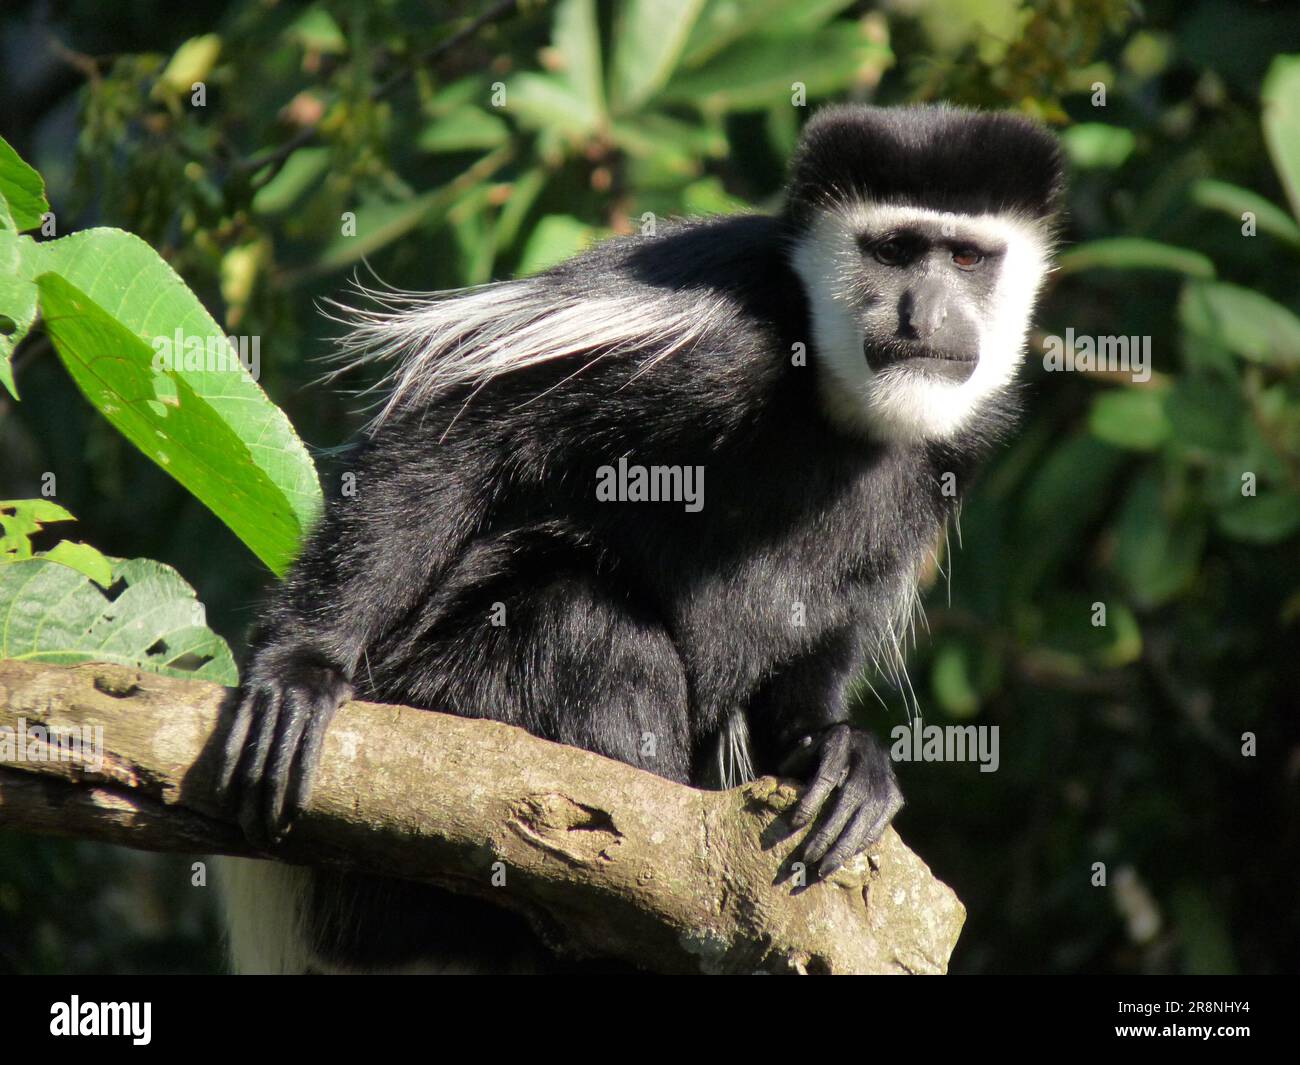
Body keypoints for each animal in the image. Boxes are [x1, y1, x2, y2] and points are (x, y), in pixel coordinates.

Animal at [213, 103, 1063, 973]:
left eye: (966, 256)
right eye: (892, 250)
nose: (921, 315)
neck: (836, 403)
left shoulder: (958, 445)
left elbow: (834, 616)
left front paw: (839, 753)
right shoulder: (715, 344)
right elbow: (465, 435)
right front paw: (301, 671)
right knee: (582, 627)